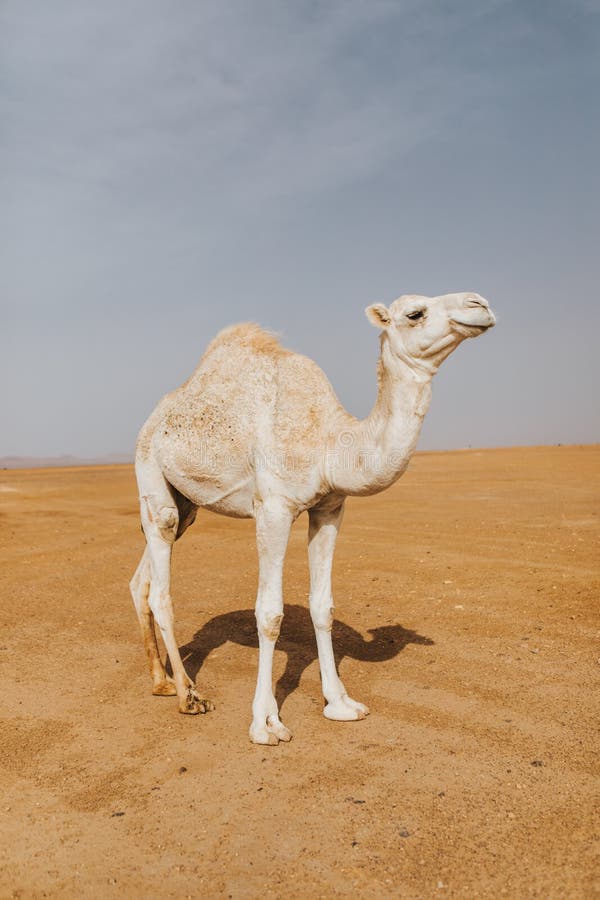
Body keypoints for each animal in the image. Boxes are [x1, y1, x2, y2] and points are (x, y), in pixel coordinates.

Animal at [130, 292, 496, 744]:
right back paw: (188, 694)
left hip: (187, 505)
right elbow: (270, 614)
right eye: (415, 313)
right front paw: (266, 722)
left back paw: (161, 681)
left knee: (142, 579)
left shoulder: (329, 508)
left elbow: (323, 606)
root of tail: (155, 416)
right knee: (161, 586)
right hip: (150, 471)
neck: (329, 441)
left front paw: (340, 703)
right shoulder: (273, 508)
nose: (480, 304)